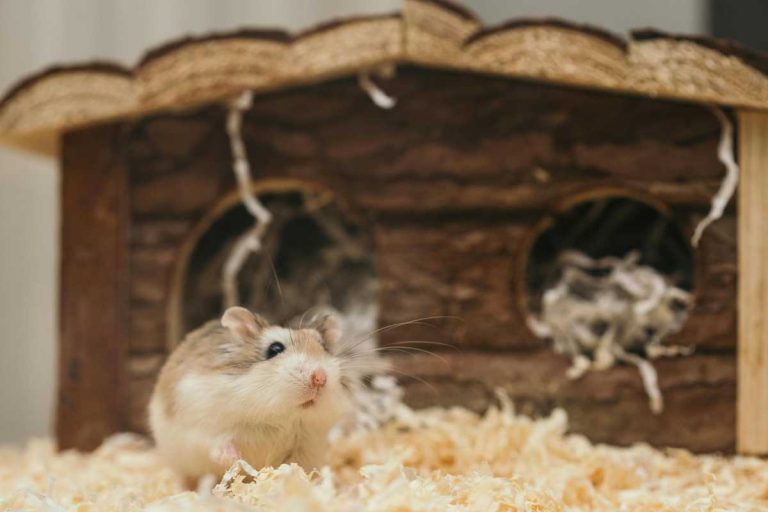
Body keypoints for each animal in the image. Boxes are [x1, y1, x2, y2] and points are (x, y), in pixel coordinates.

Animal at [149, 306, 367, 483]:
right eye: (275, 349)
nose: (320, 377)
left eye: (324, 347)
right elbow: (217, 444)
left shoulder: (306, 446)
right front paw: (236, 459)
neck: (279, 416)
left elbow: (295, 467)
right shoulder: (202, 426)